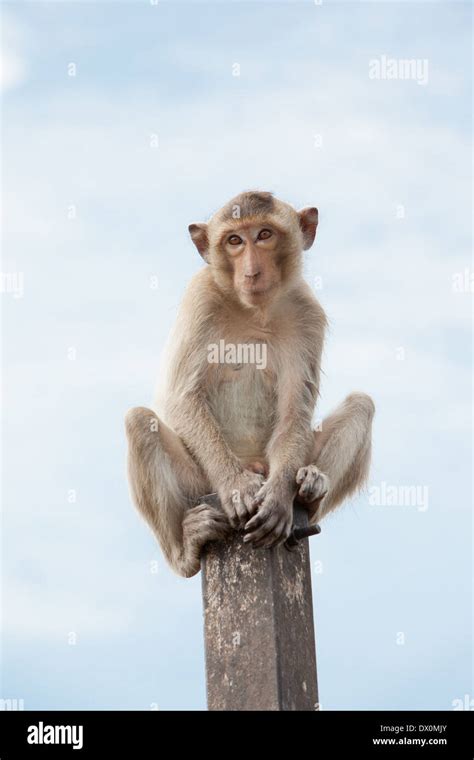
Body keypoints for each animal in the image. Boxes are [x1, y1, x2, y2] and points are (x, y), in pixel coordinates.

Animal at [125, 191, 375, 578]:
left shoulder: (307, 310)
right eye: (234, 241)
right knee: (139, 422)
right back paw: (187, 547)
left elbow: (294, 409)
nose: (252, 271)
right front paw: (236, 487)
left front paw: (279, 498)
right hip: (198, 484)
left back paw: (310, 490)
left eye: (264, 235)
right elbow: (181, 398)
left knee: (362, 405)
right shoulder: (200, 297)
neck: (254, 309)